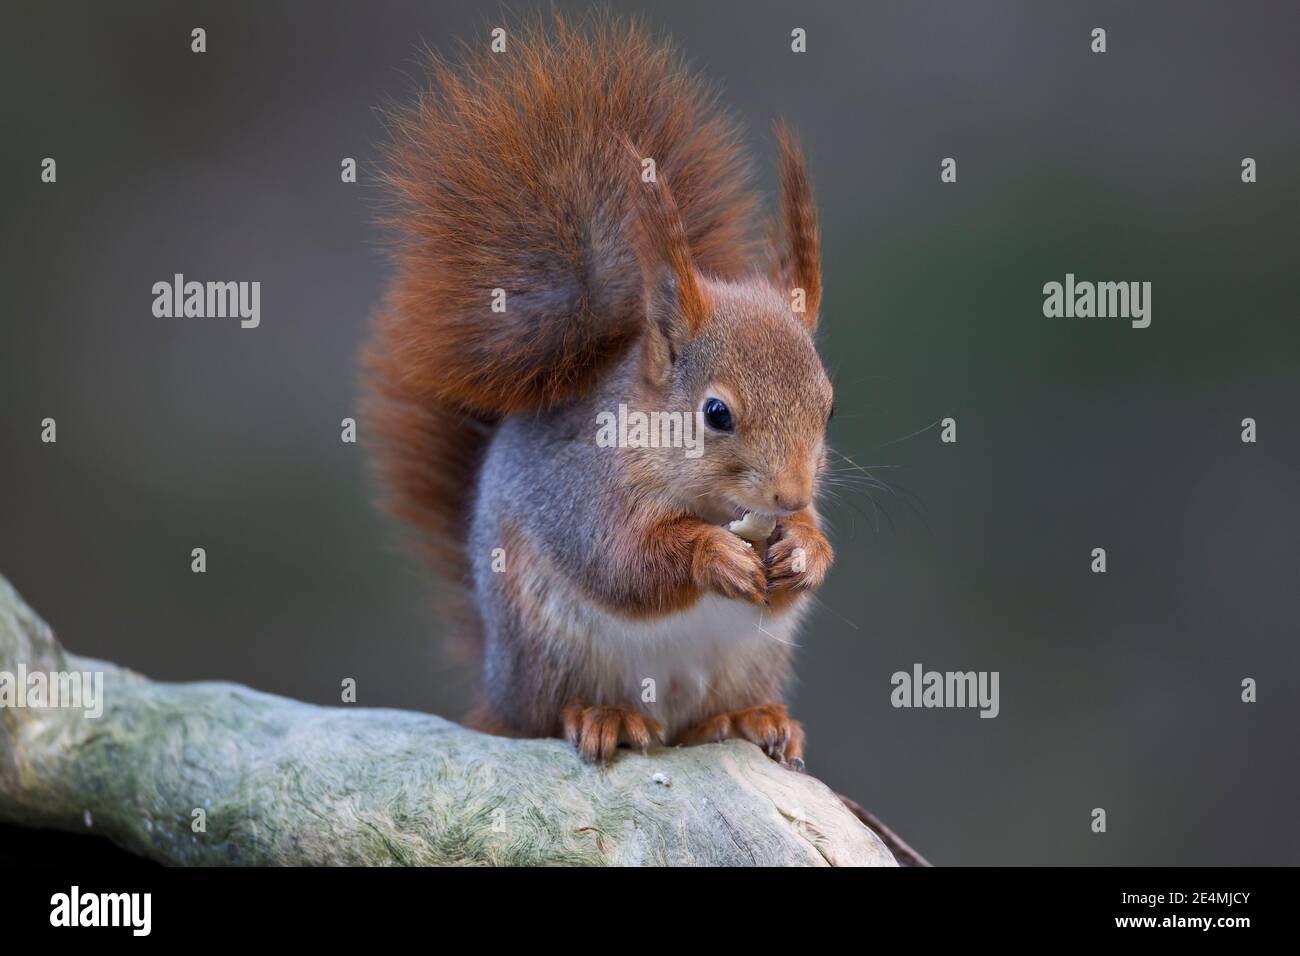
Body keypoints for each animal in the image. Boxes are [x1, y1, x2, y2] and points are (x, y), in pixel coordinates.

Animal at [366, 13, 832, 764]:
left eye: (829, 406)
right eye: (716, 413)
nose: (791, 498)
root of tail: (498, 688)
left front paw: (805, 551)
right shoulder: (584, 489)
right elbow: (622, 563)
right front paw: (713, 555)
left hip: (749, 659)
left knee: (706, 717)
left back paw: (746, 718)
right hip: (550, 650)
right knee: (556, 709)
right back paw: (604, 716)